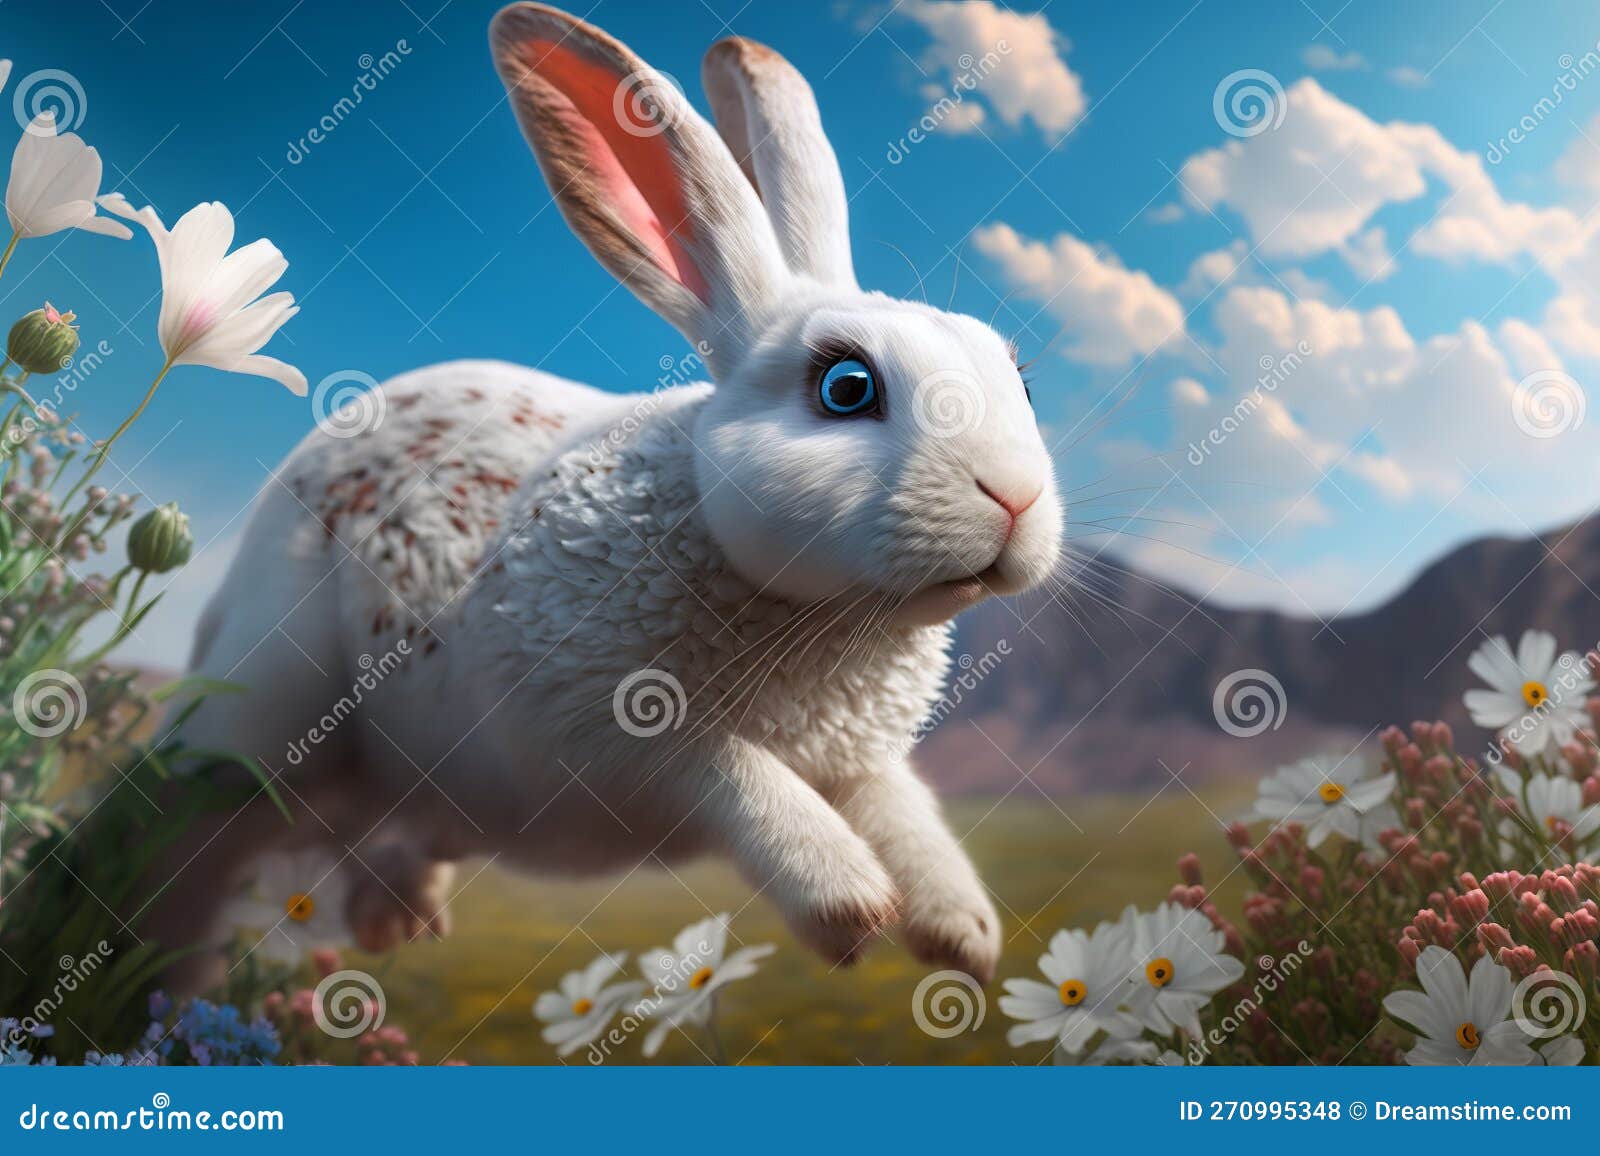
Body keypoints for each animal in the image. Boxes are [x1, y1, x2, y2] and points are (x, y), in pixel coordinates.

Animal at [145, 2, 1063, 992]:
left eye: (1021, 382)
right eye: (846, 386)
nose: (1014, 498)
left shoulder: (860, 763)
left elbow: (906, 814)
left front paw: (962, 935)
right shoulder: (622, 738)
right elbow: (745, 783)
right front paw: (849, 909)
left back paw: (397, 921)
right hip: (261, 720)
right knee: (187, 854)